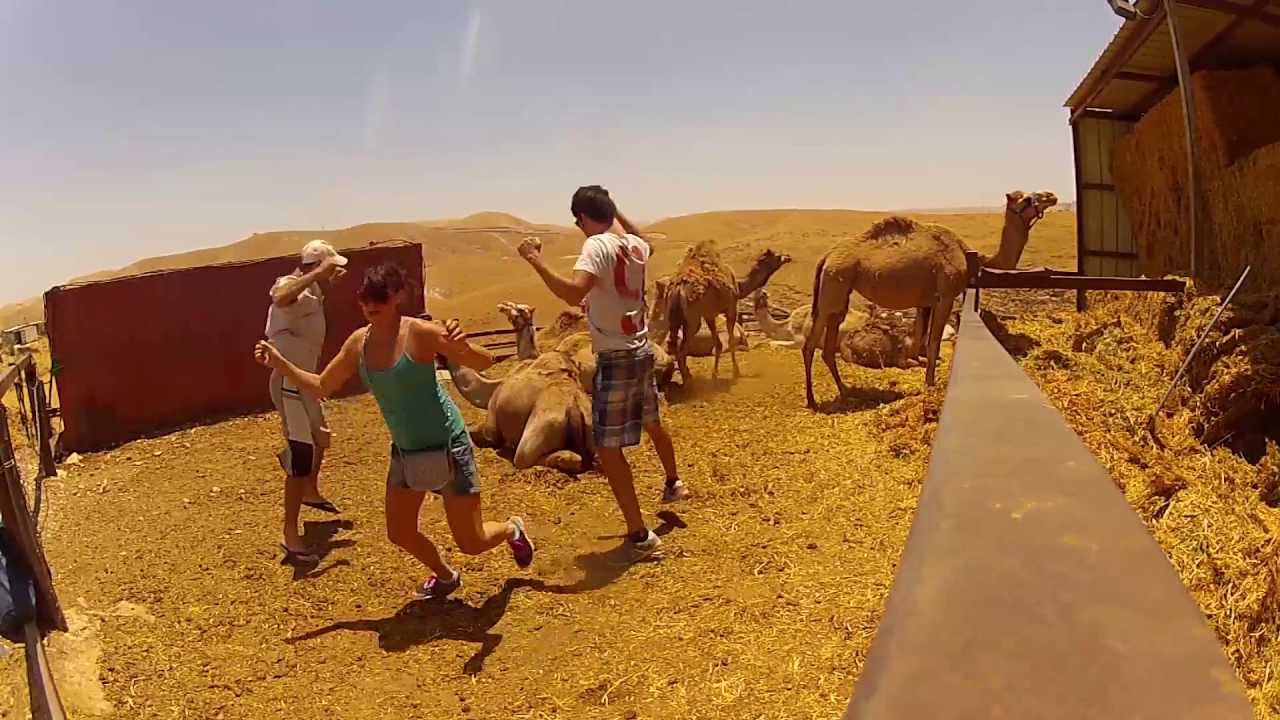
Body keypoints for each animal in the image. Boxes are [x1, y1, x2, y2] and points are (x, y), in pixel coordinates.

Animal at [664, 244, 792, 384]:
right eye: (777, 256)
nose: (788, 257)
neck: (738, 287)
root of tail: (677, 290)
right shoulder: (731, 308)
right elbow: (730, 342)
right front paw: (736, 372)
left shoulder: (709, 314)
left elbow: (718, 344)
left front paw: (715, 374)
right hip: (693, 318)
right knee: (682, 350)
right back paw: (688, 381)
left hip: (673, 317)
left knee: (674, 346)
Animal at [803, 190, 1058, 407]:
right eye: (1026, 199)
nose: (1051, 196)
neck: (969, 257)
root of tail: (826, 256)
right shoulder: (945, 295)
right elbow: (933, 342)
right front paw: (931, 386)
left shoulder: (927, 301)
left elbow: (922, 341)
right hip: (833, 284)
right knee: (810, 344)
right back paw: (813, 401)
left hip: (840, 291)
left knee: (828, 345)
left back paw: (846, 392)